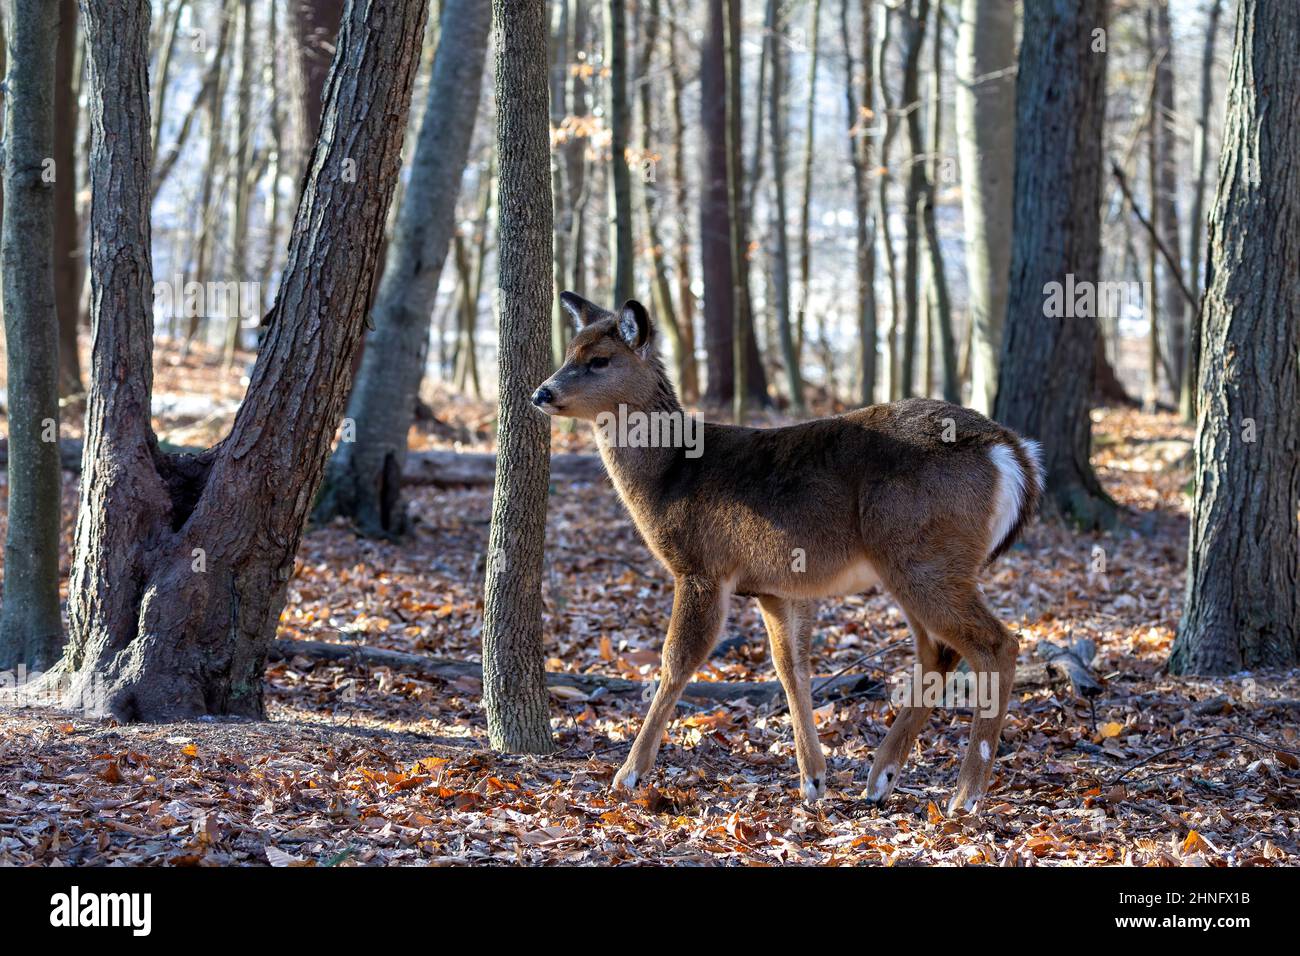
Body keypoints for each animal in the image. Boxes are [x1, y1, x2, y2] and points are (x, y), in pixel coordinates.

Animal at [531, 292, 1043, 814]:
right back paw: (881, 778)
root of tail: (1014, 453)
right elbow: (791, 668)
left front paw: (628, 775)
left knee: (997, 644)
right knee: (937, 650)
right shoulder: (777, 587)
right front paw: (813, 780)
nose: (541, 394)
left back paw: (965, 795)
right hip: (914, 564)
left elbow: (676, 662)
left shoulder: (701, 567)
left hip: (922, 554)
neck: (670, 474)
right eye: (569, 350)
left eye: (599, 360)